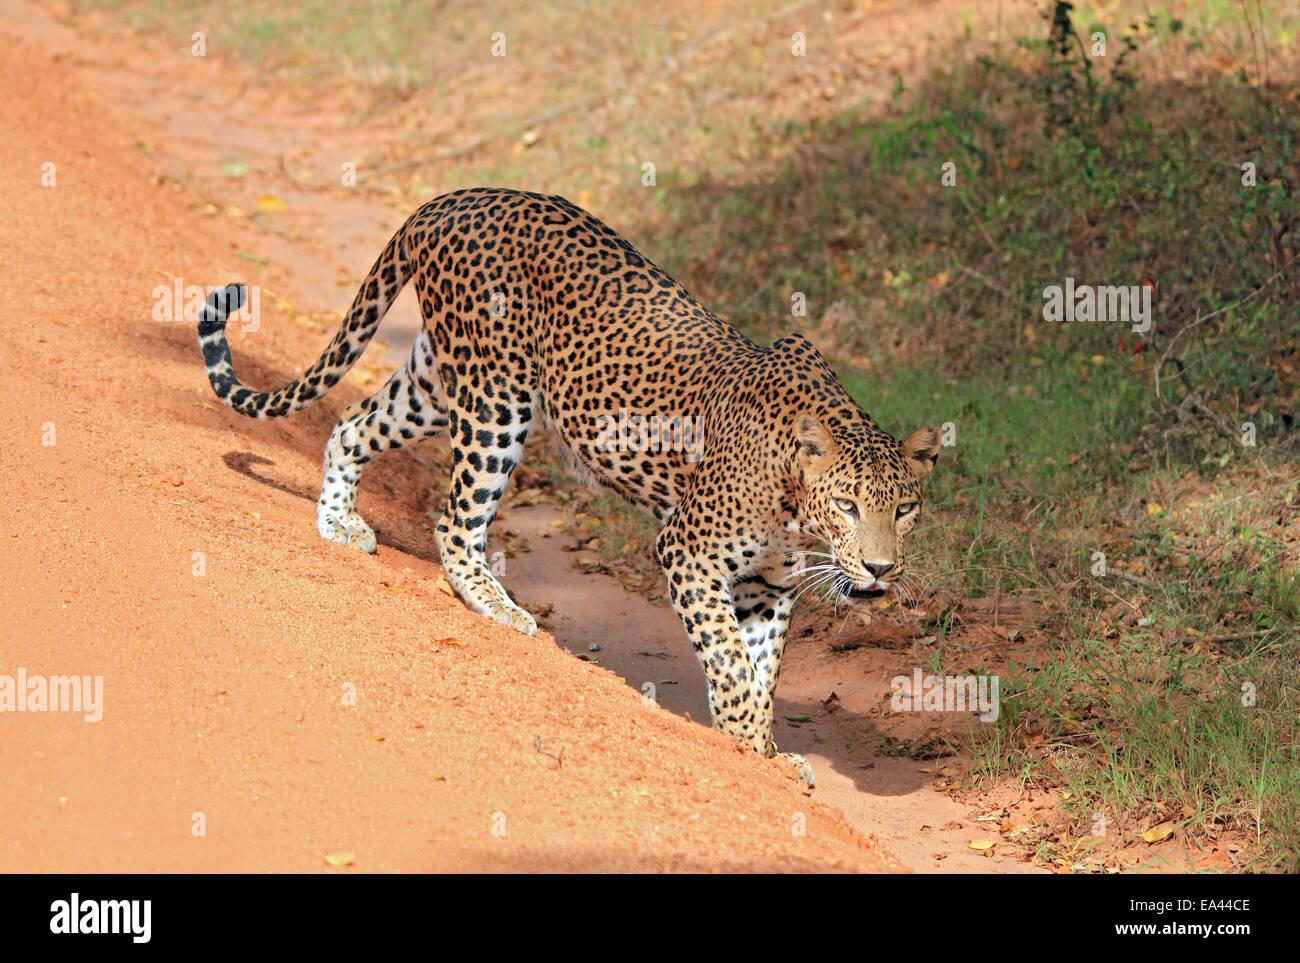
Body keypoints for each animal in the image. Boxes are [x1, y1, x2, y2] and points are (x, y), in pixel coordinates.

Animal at [197, 187, 942, 785]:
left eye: (905, 509)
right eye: (847, 505)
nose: (882, 569)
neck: (794, 502)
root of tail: (450, 199)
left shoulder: (767, 585)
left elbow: (760, 670)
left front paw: (762, 749)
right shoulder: (688, 551)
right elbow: (729, 658)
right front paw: (744, 747)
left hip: (437, 380)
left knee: (352, 424)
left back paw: (338, 523)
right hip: (497, 399)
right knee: (455, 518)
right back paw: (497, 608)